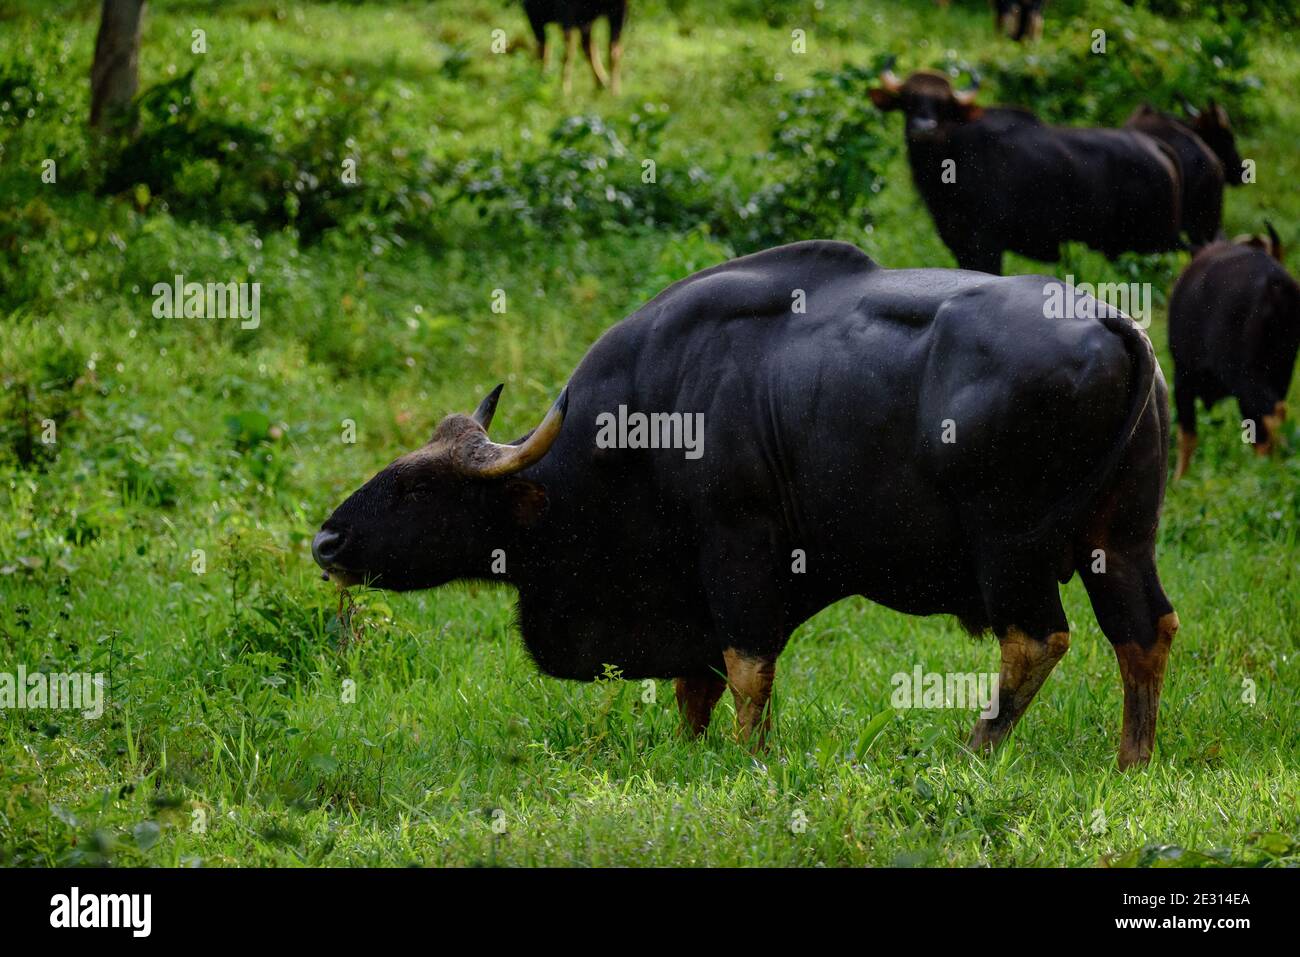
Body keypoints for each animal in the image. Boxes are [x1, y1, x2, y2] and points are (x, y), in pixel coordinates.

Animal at [314, 241, 1178, 769]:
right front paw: (692, 753)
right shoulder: (686, 592)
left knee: (1037, 638)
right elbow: (694, 683)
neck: (640, 425)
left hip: (1010, 547)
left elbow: (747, 672)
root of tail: (1113, 321)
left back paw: (974, 746)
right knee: (1144, 631)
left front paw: (749, 759)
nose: (325, 542)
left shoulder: (739, 558)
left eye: (417, 487)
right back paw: (1130, 761)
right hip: (1121, 539)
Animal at [870, 69, 1182, 274]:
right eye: (908, 100)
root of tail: (1158, 147)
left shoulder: (987, 243)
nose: (924, 127)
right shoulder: (957, 242)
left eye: (944, 105)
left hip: (1151, 246)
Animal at [1168, 224, 1300, 478]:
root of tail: (1275, 284)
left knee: (1271, 417)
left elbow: (1187, 436)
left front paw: (1180, 480)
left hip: (1244, 374)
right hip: (1280, 371)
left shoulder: (1182, 378)